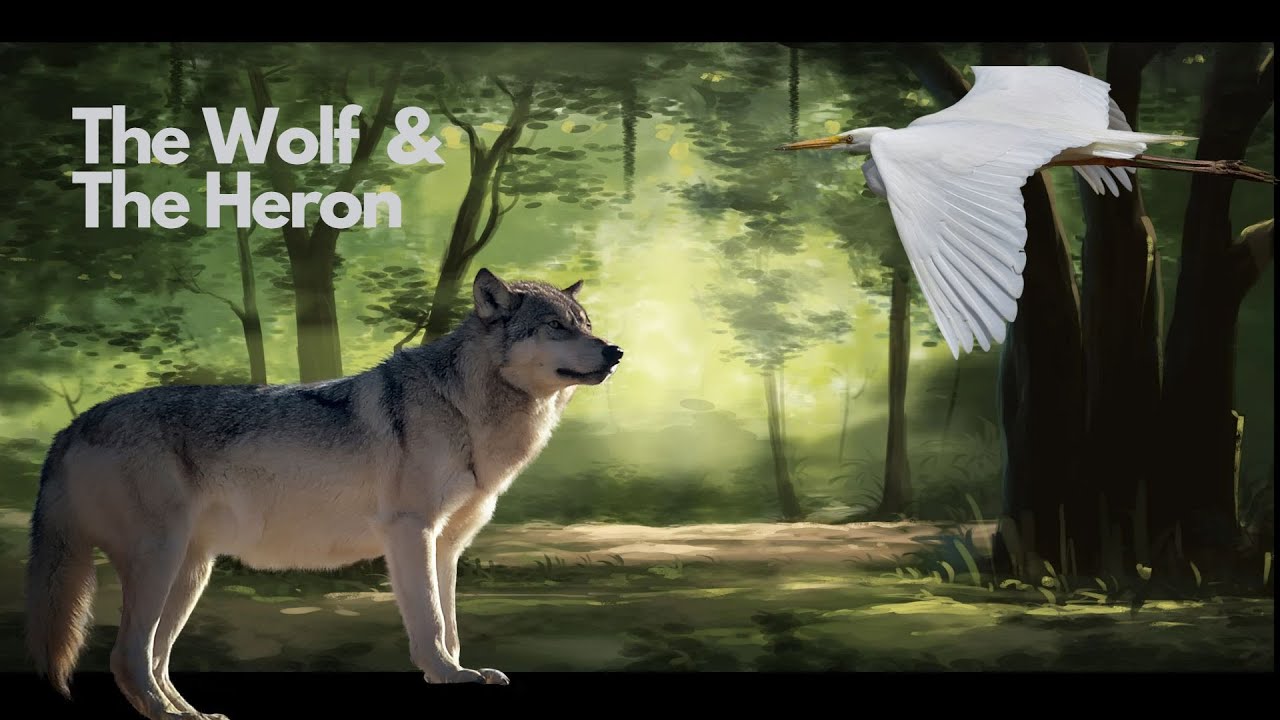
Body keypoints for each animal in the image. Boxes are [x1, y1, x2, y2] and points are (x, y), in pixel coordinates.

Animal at [25, 268, 623, 720]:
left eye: (586, 325)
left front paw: (458, 672)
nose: (615, 351)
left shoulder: (447, 546)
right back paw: (171, 718)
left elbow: (450, 623)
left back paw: (193, 714)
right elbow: (430, 621)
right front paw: (448, 676)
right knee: (128, 656)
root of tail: (72, 426)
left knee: (154, 658)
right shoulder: (410, 533)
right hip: (160, 563)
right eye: (556, 327)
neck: (463, 407)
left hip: (190, 574)